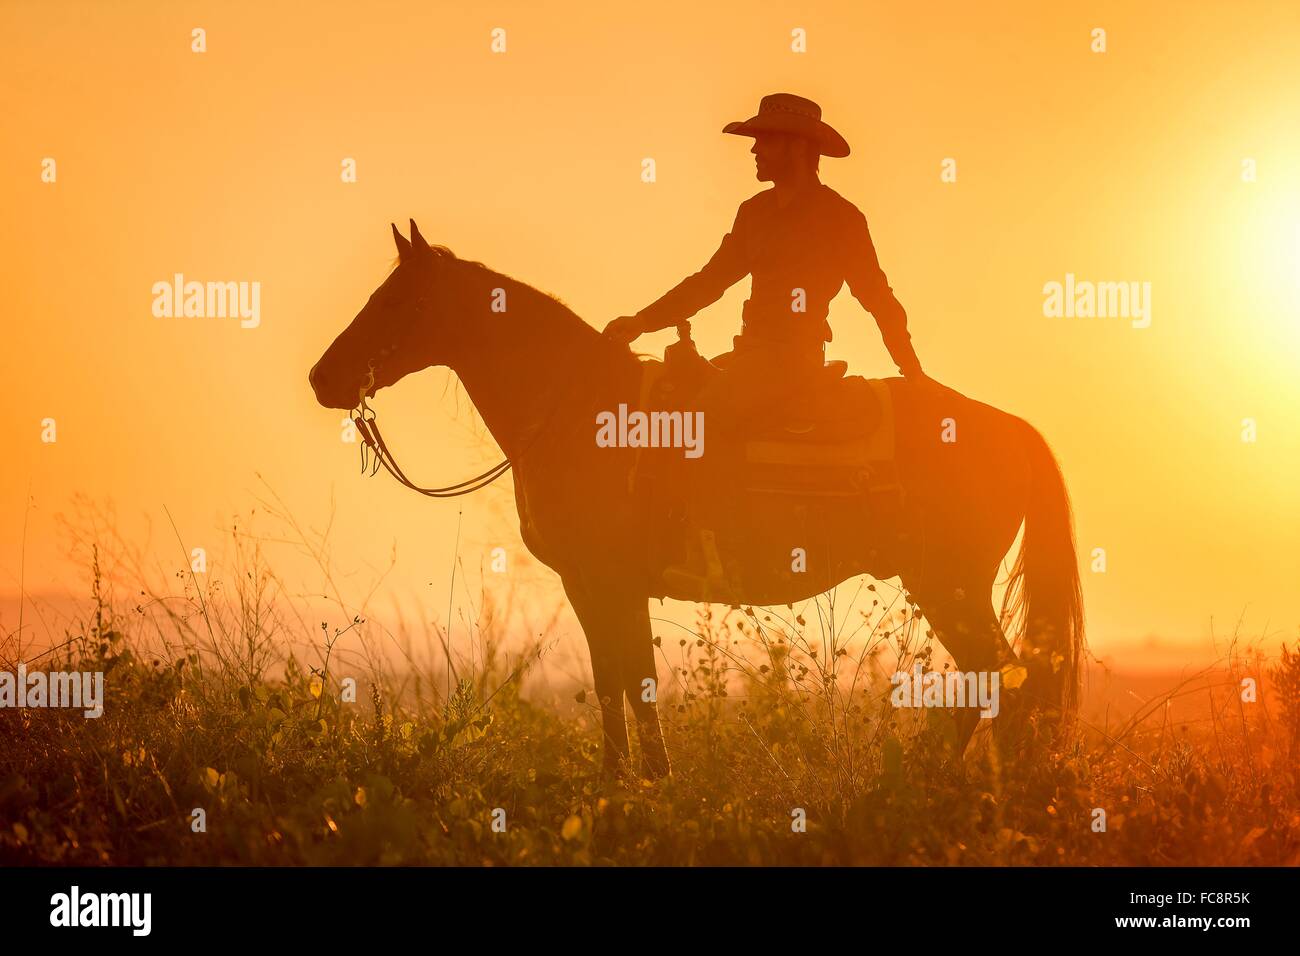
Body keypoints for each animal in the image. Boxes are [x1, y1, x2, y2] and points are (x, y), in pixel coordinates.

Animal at [309, 220, 1085, 778]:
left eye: (395, 301)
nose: (323, 378)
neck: (577, 410)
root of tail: (1012, 428)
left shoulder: (606, 581)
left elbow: (626, 682)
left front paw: (635, 786)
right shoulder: (598, 586)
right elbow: (622, 681)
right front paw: (641, 781)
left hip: (948, 582)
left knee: (1004, 676)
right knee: (999, 679)